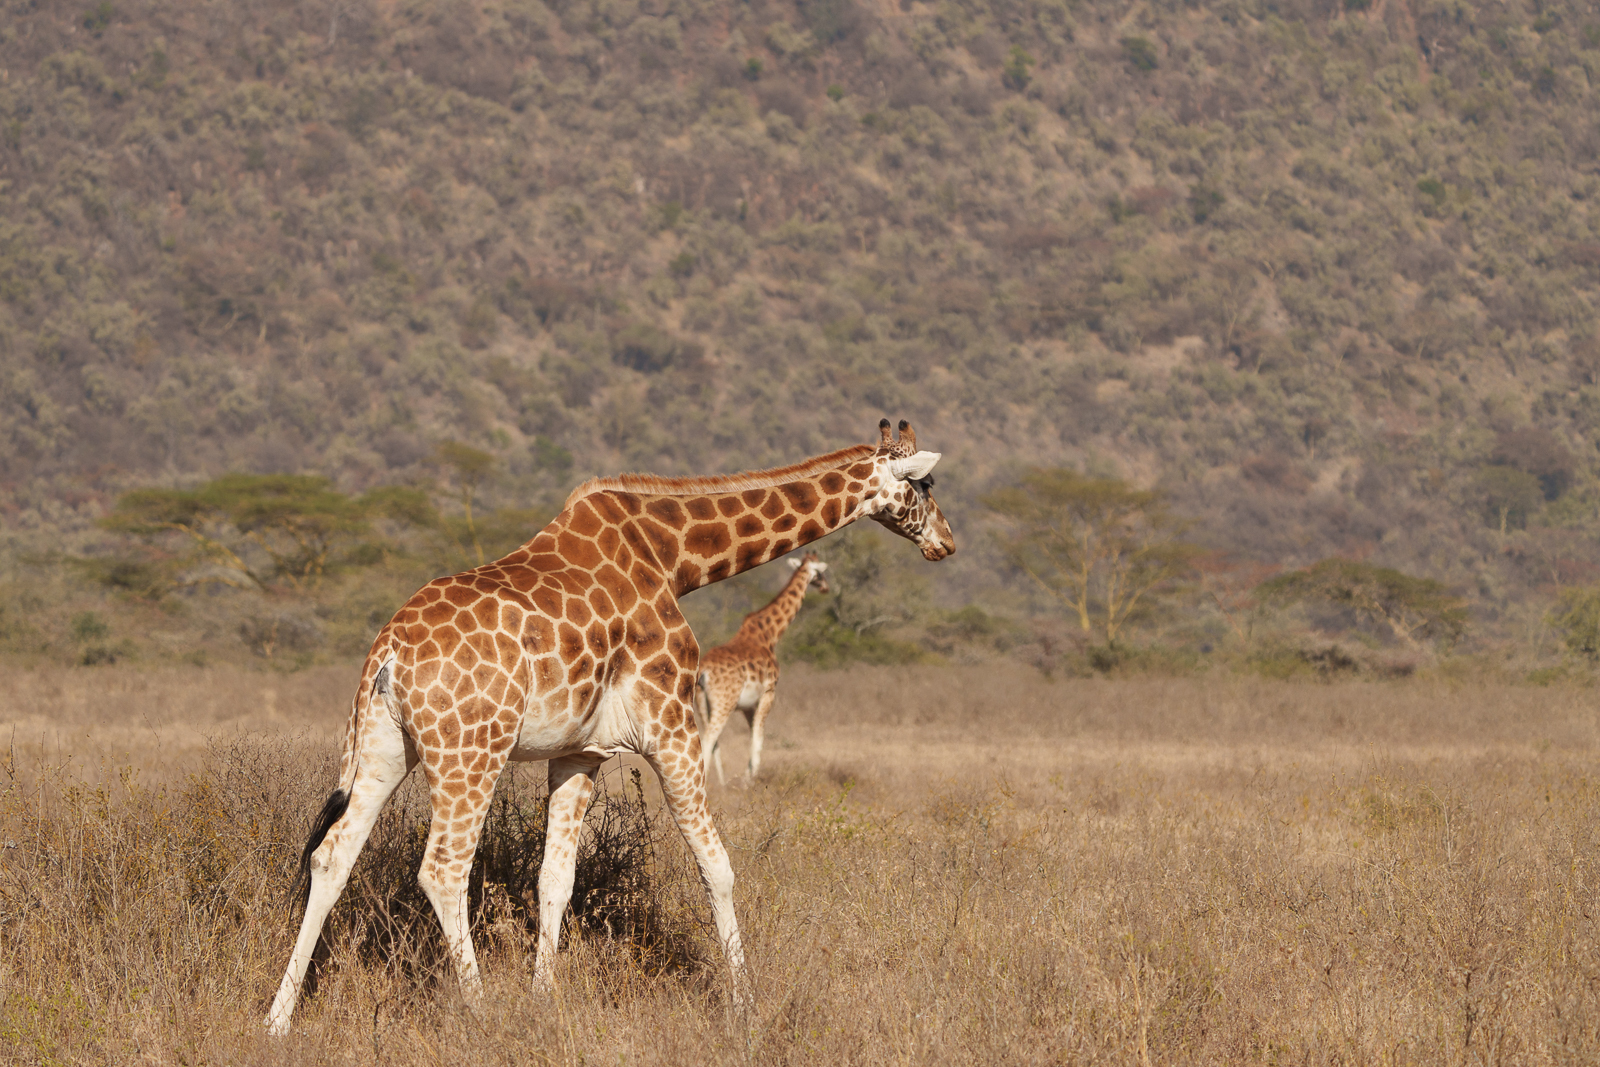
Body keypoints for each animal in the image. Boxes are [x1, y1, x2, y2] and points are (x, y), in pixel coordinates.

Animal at [695, 552, 829, 786]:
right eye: (820, 573)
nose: (825, 587)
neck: (770, 635)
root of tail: (703, 671)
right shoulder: (769, 692)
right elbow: (759, 738)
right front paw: (751, 780)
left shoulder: (748, 706)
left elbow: (752, 737)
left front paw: (746, 777)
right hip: (724, 702)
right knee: (709, 737)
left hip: (702, 701)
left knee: (712, 739)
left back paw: (720, 782)